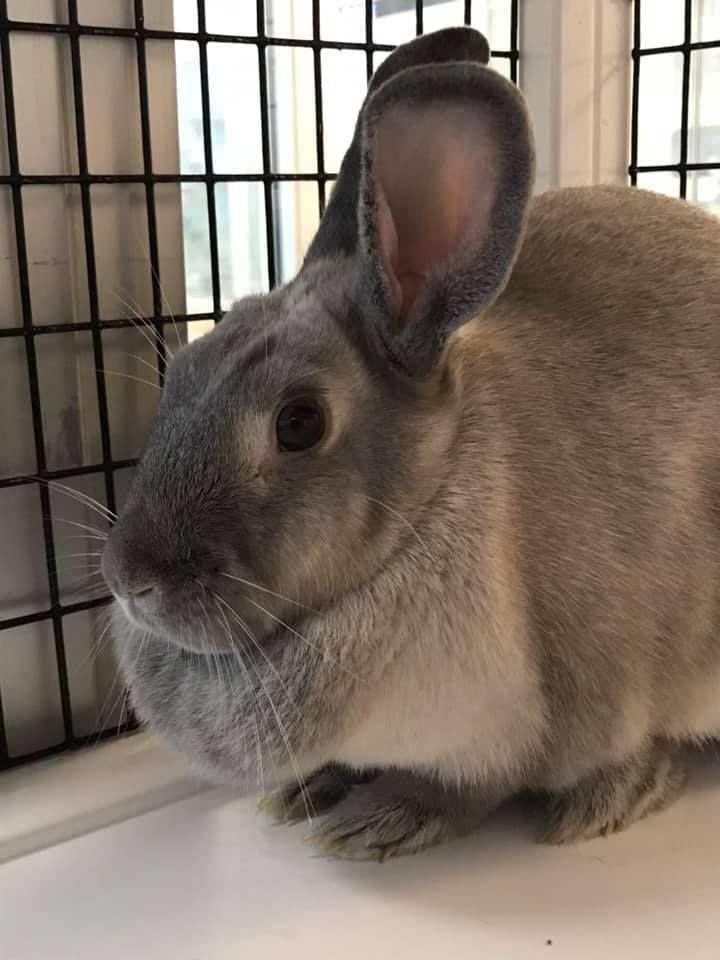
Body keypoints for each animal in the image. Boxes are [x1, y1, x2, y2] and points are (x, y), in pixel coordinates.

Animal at [103, 26, 720, 861]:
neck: (433, 501)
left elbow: (482, 787)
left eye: (299, 423)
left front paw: (389, 821)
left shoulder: (568, 705)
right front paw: (305, 790)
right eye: (187, 367)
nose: (130, 581)